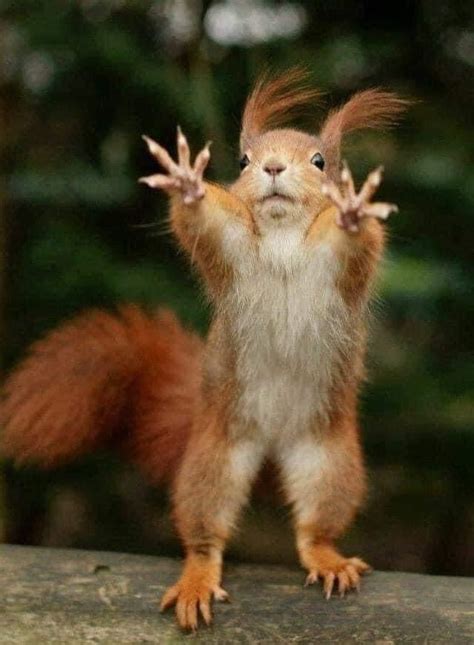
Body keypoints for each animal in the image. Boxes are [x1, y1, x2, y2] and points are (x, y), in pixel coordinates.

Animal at [0, 68, 408, 631]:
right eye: (243, 161)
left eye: (320, 162)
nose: (273, 167)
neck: (282, 235)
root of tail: (273, 442)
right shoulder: (233, 247)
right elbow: (205, 222)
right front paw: (189, 187)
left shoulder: (342, 267)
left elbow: (357, 241)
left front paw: (351, 210)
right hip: (214, 458)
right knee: (204, 531)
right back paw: (197, 576)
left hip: (329, 459)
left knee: (315, 527)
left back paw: (327, 558)